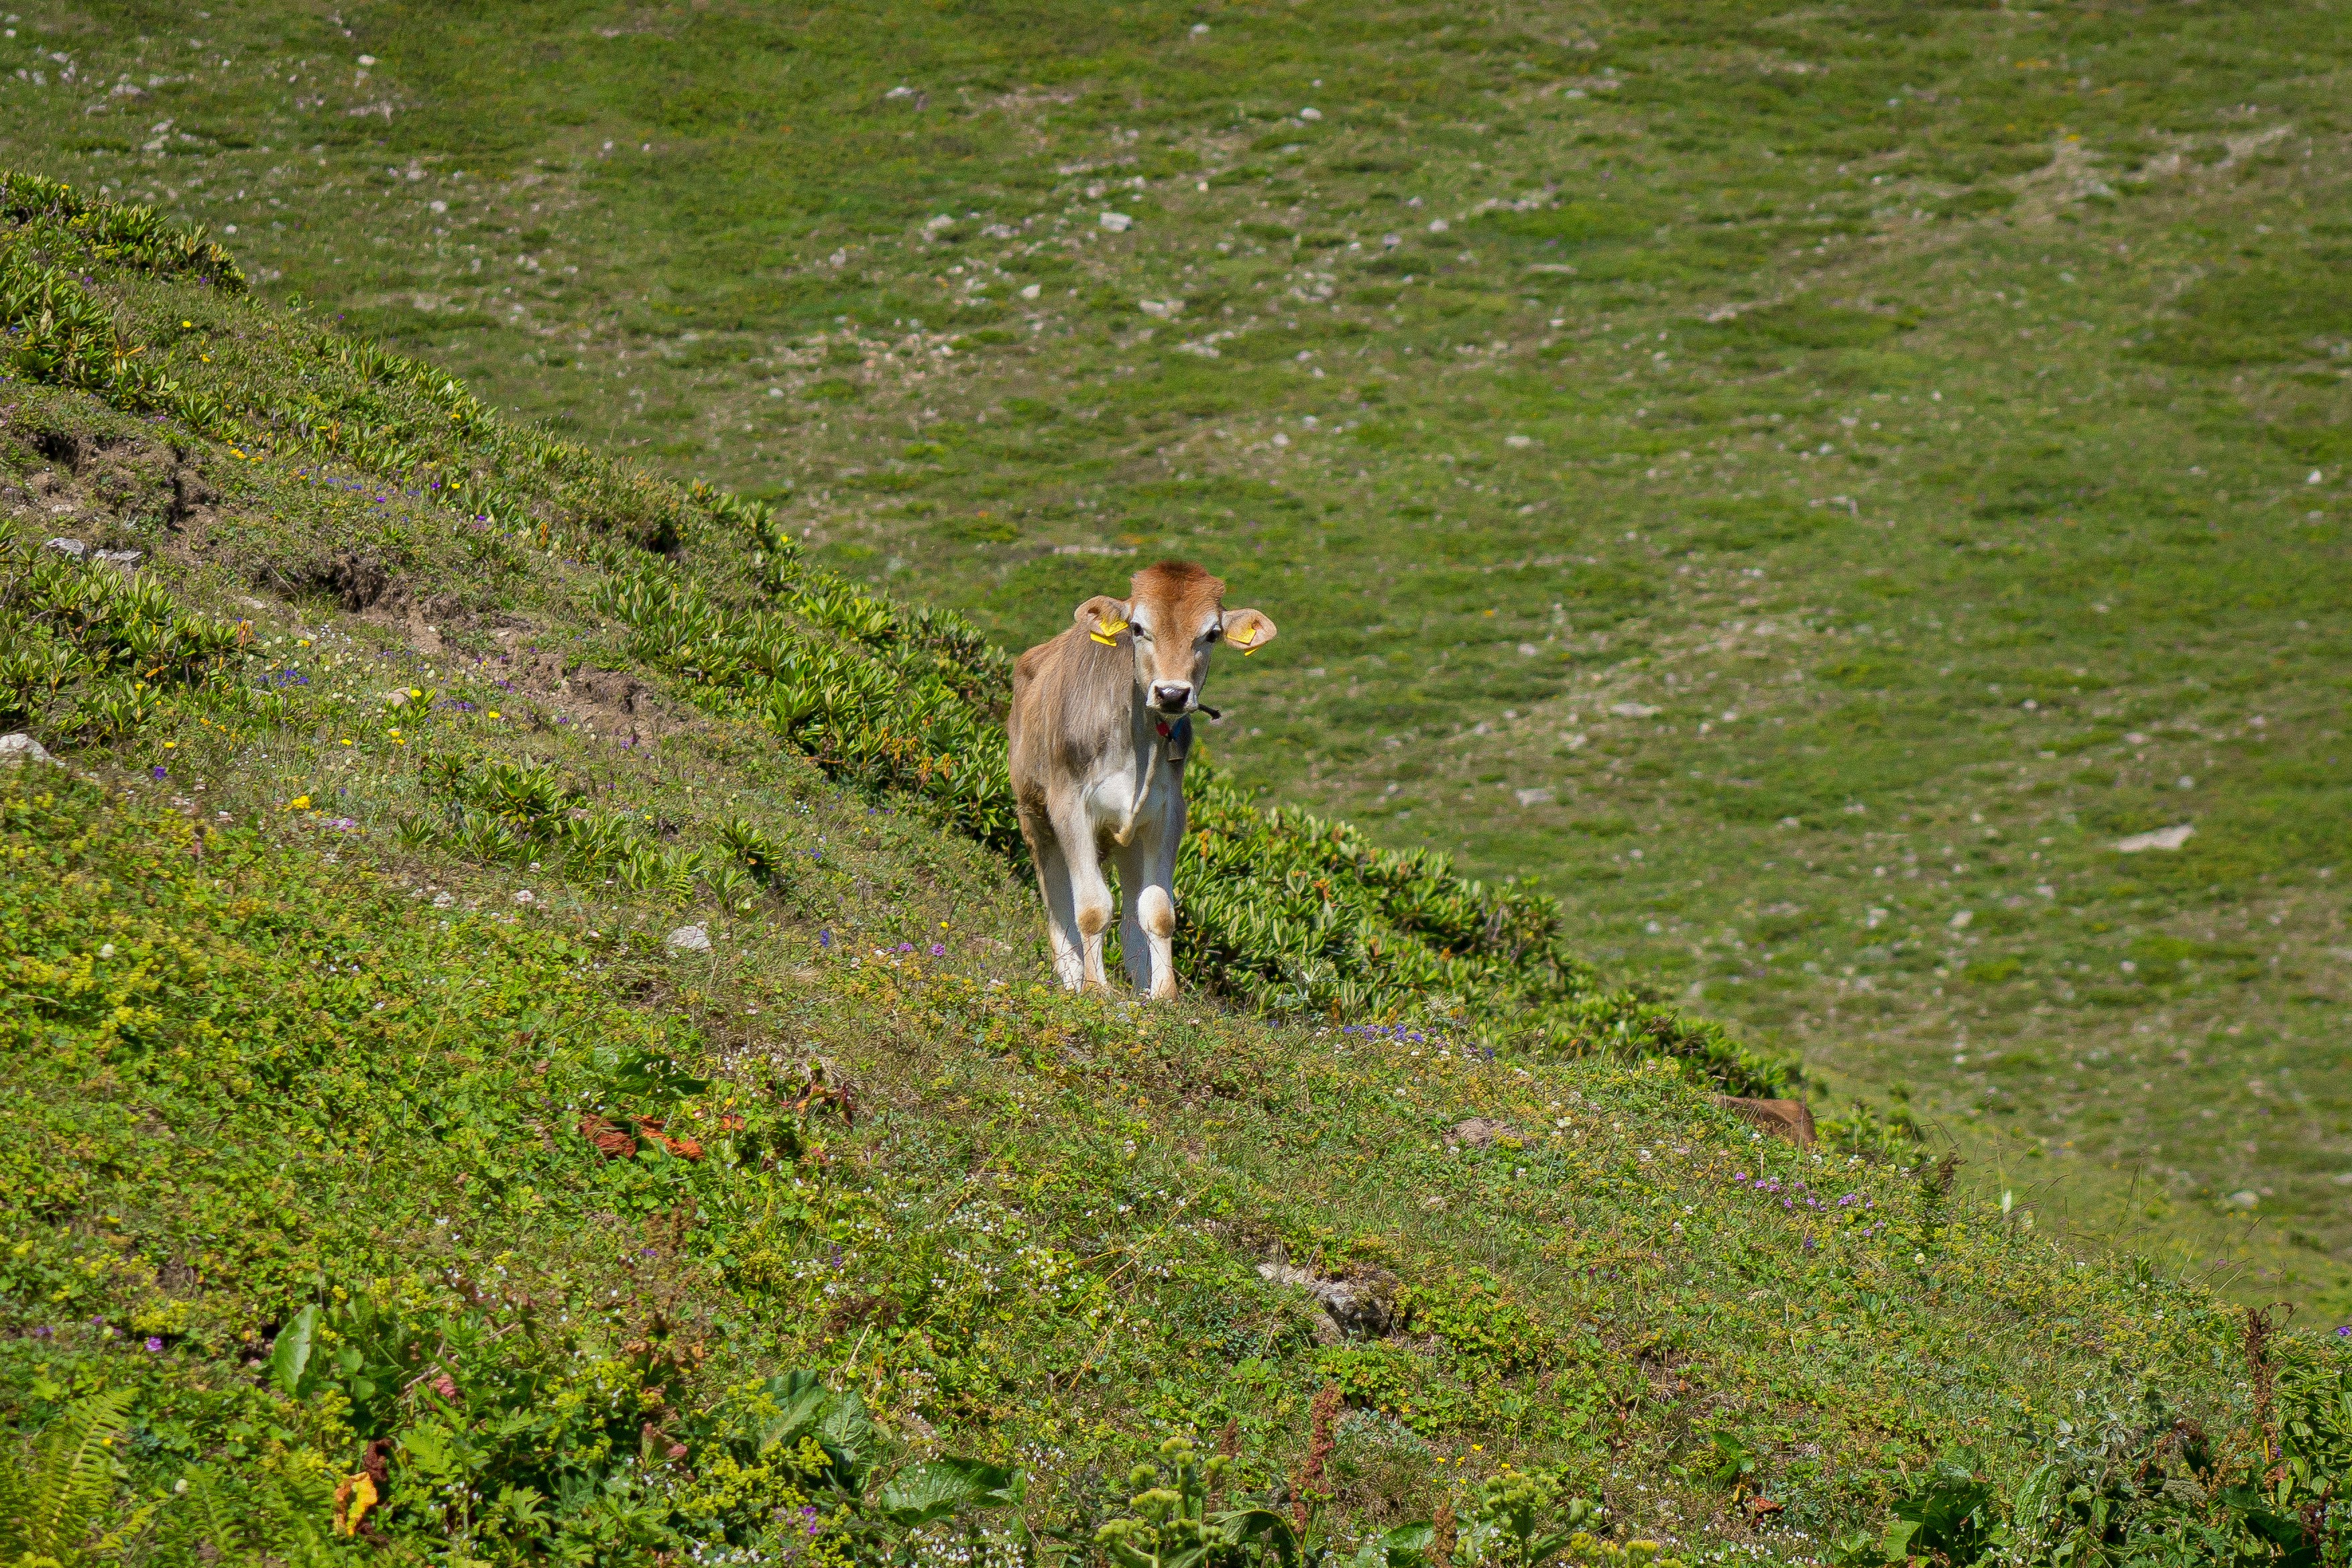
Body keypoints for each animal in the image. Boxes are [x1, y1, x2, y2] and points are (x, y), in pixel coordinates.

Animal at [1008, 561, 1278, 997]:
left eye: (1211, 634)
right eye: (1137, 627)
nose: (1171, 694)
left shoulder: (1166, 814)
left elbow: (1158, 910)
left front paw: (1164, 994)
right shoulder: (1070, 805)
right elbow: (1091, 907)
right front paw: (1095, 989)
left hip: (1126, 839)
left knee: (1133, 907)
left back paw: (1138, 985)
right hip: (1034, 815)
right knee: (1056, 896)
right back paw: (1071, 980)